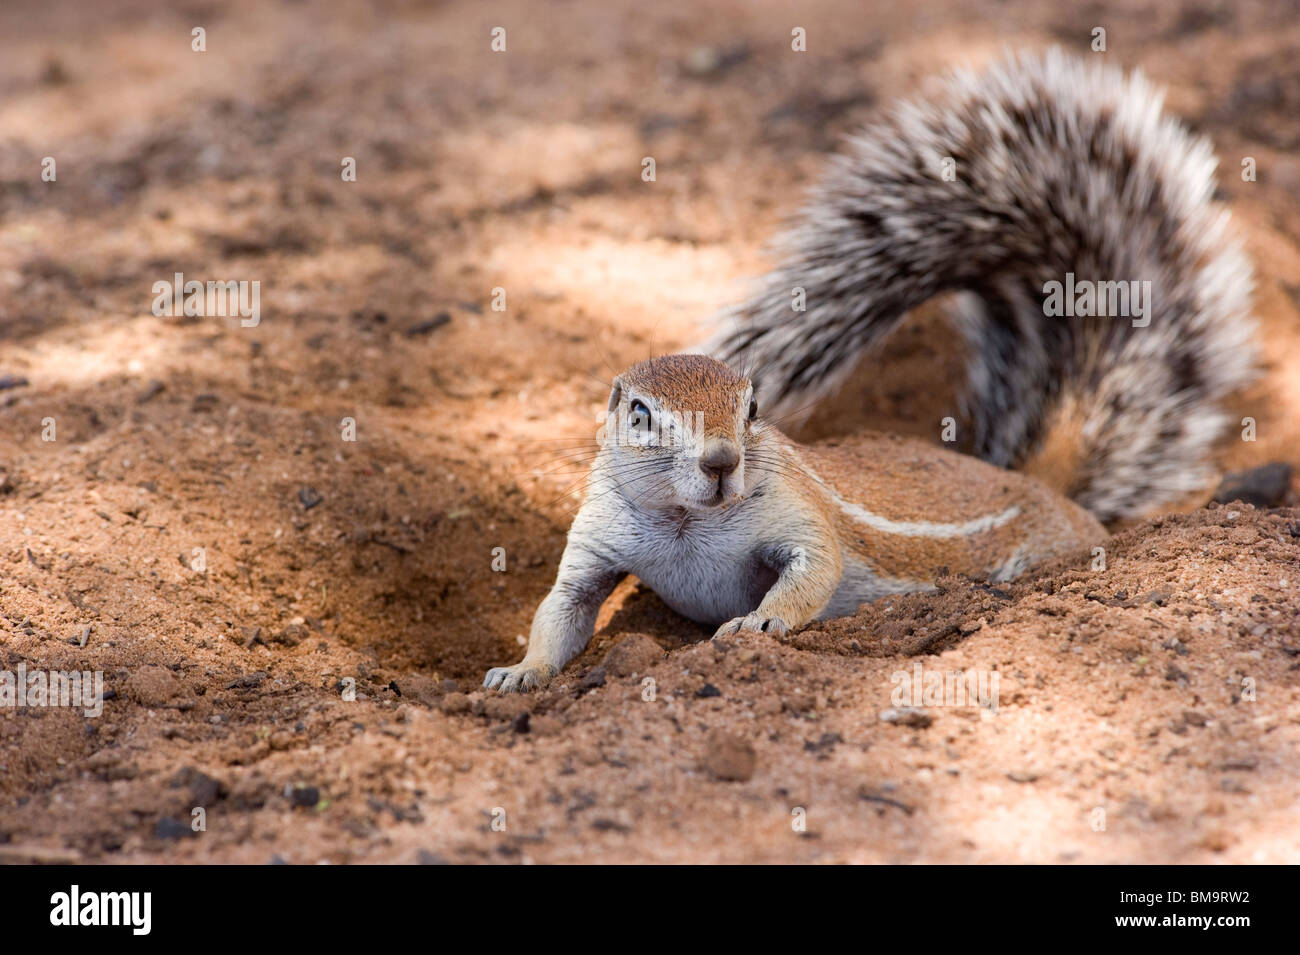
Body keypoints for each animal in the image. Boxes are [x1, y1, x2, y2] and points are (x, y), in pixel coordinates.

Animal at [484, 50, 1255, 693]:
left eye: (751, 407)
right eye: (640, 414)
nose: (722, 462)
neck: (685, 522)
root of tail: (1055, 493)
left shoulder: (797, 514)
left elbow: (813, 570)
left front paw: (758, 622)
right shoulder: (595, 536)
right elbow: (559, 610)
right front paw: (520, 672)